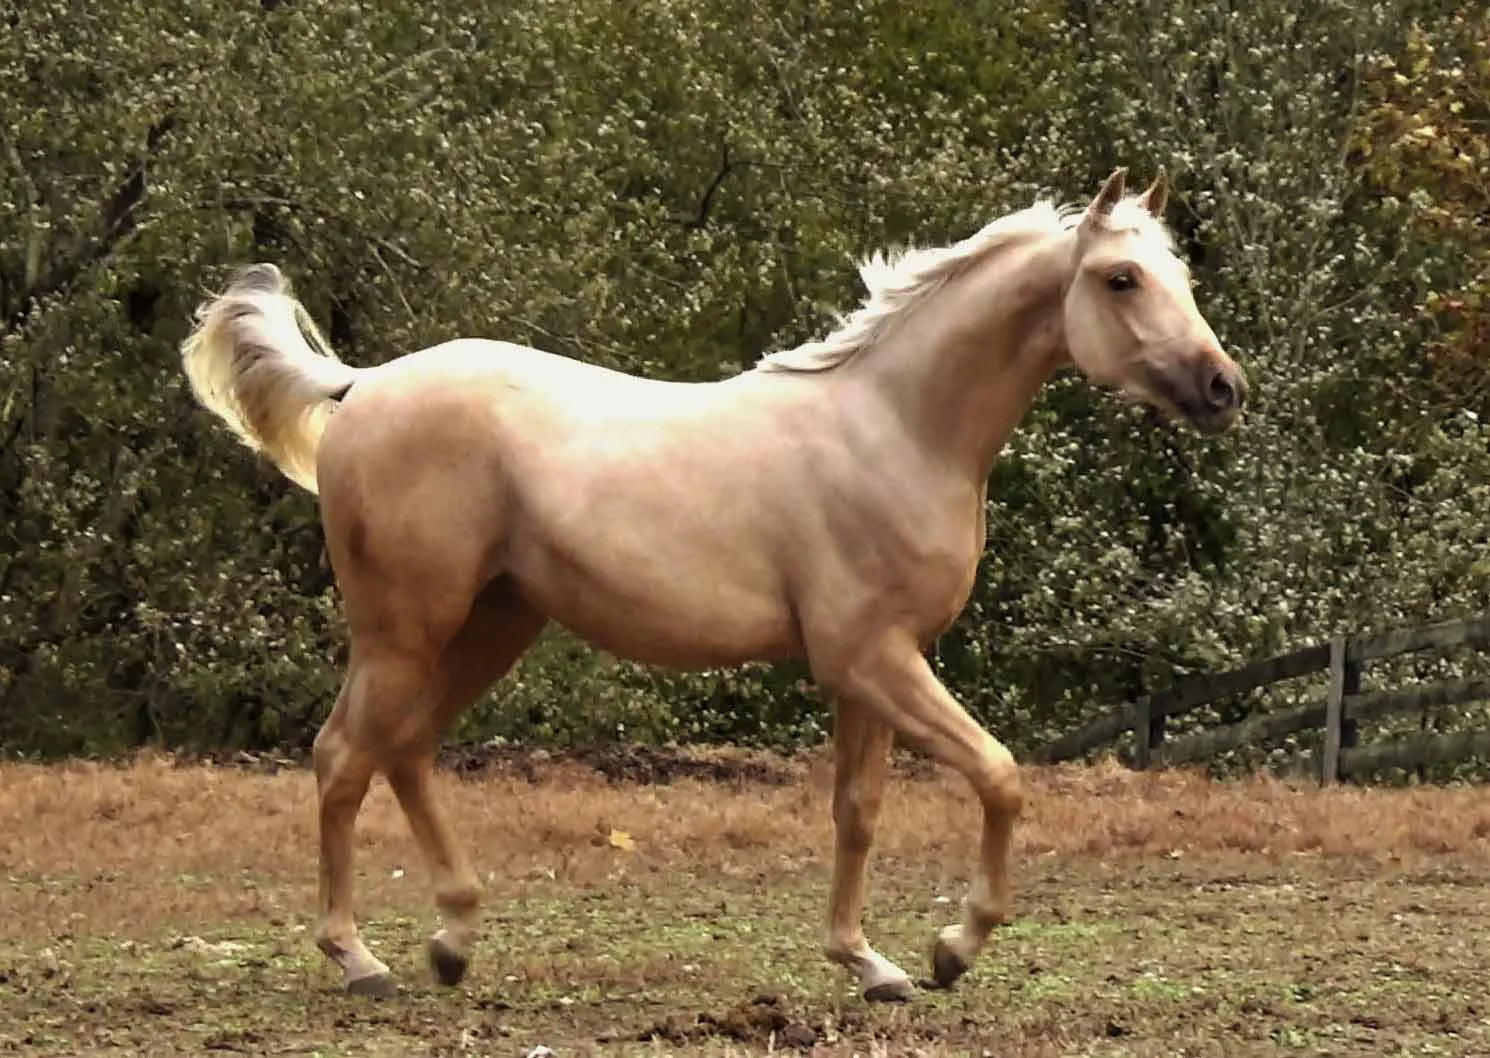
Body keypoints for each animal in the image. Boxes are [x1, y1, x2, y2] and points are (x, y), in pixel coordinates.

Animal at [179, 168, 1245, 1003]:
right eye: (1120, 277)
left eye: (1179, 276)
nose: (1223, 388)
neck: (896, 428)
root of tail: (362, 385)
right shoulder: (875, 660)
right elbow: (998, 774)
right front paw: (952, 949)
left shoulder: (870, 670)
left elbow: (857, 813)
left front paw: (871, 965)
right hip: (404, 628)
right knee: (342, 757)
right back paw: (360, 959)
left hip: (494, 624)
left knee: (404, 751)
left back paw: (453, 940)